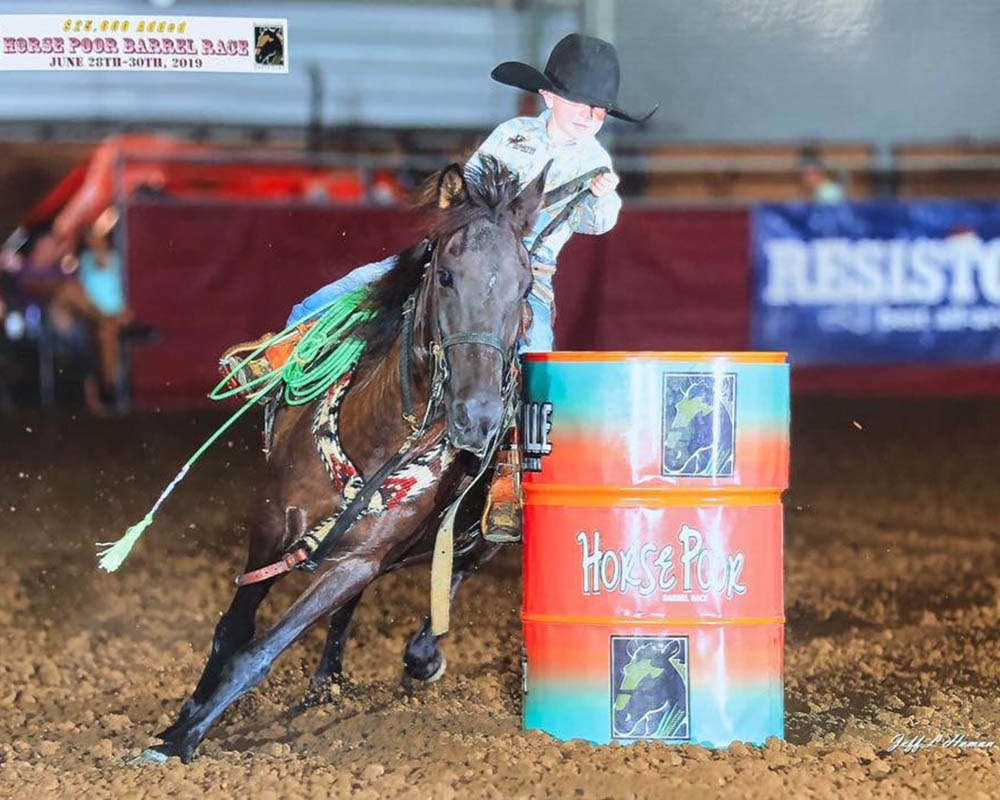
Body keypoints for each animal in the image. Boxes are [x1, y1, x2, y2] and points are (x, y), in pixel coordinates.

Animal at [144, 155, 548, 763]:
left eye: (526, 287)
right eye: (447, 276)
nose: (477, 418)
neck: (375, 435)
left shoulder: (358, 560)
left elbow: (259, 654)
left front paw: (183, 738)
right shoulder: (270, 523)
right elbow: (234, 632)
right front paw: (183, 719)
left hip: (475, 535)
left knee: (455, 572)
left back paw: (417, 657)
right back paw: (328, 681)